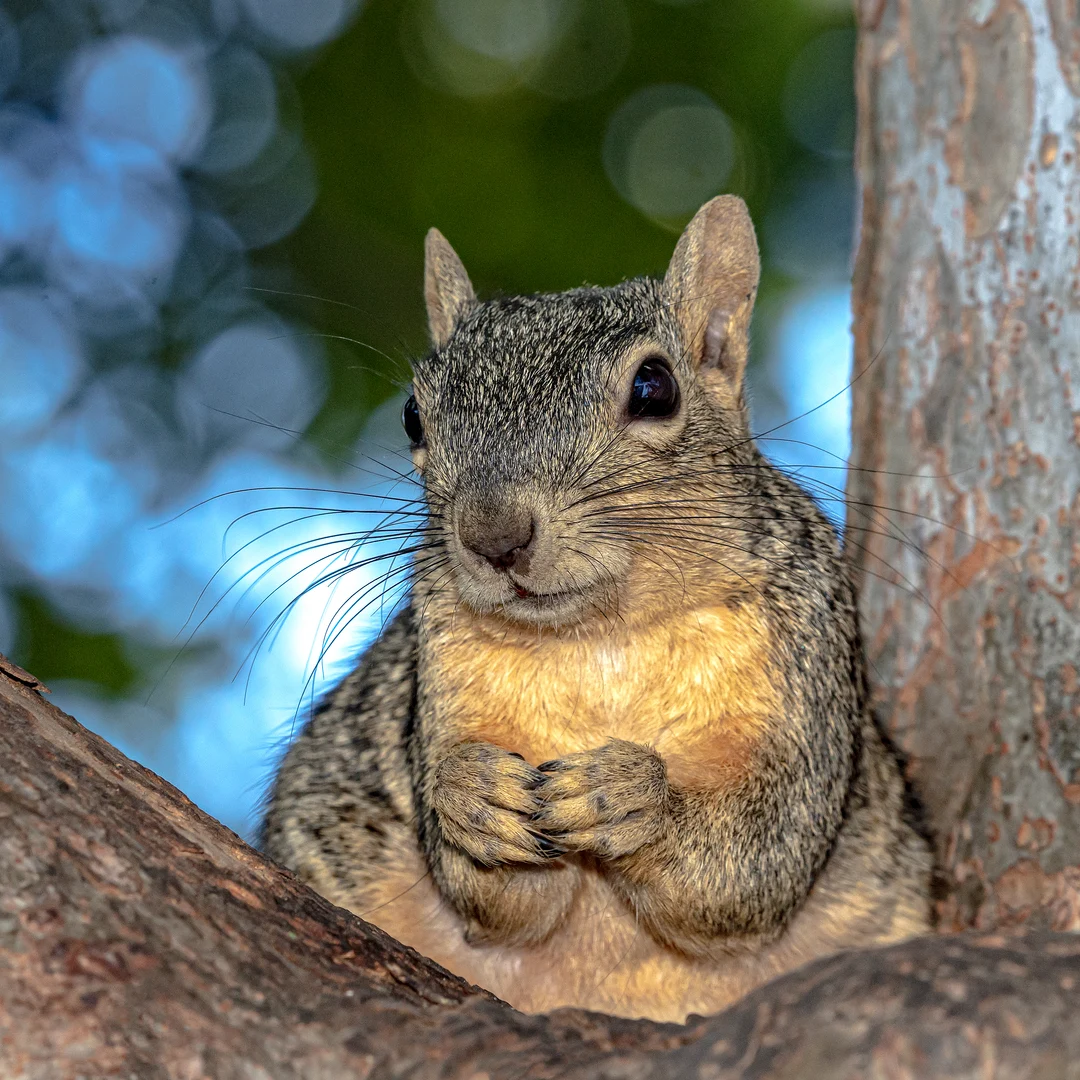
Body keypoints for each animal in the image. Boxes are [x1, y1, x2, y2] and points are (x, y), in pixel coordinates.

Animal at [260, 195, 933, 1024]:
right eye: (414, 416)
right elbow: (497, 898)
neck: (600, 634)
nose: (493, 534)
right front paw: (467, 800)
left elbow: (760, 856)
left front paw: (632, 799)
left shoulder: (808, 645)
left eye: (654, 388)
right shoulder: (441, 664)